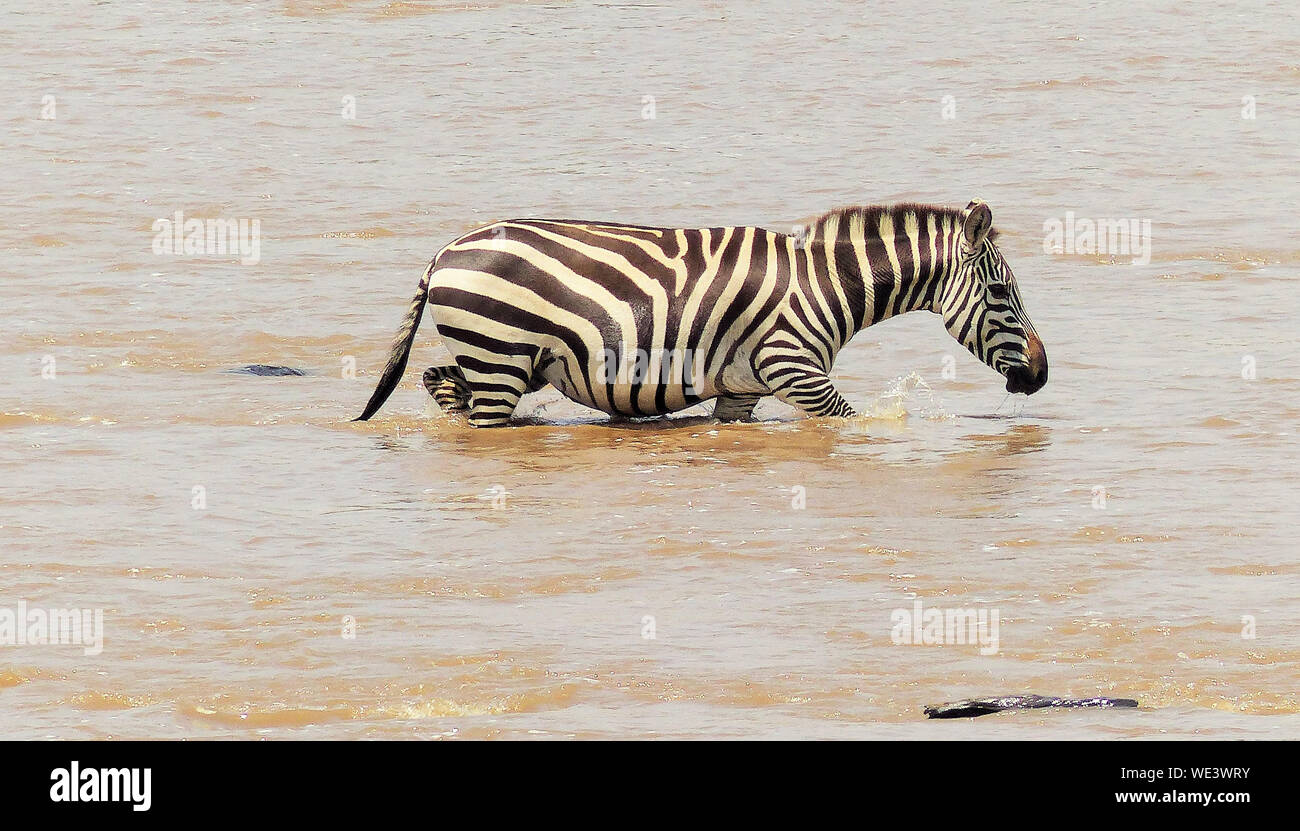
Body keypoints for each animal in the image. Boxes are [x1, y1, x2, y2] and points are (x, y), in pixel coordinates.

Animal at [355, 200, 1047, 427]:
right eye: (1001, 293)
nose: (1040, 376)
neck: (826, 286)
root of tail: (444, 252)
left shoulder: (742, 389)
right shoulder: (797, 371)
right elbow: (852, 423)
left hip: (500, 360)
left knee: (442, 384)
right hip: (500, 358)